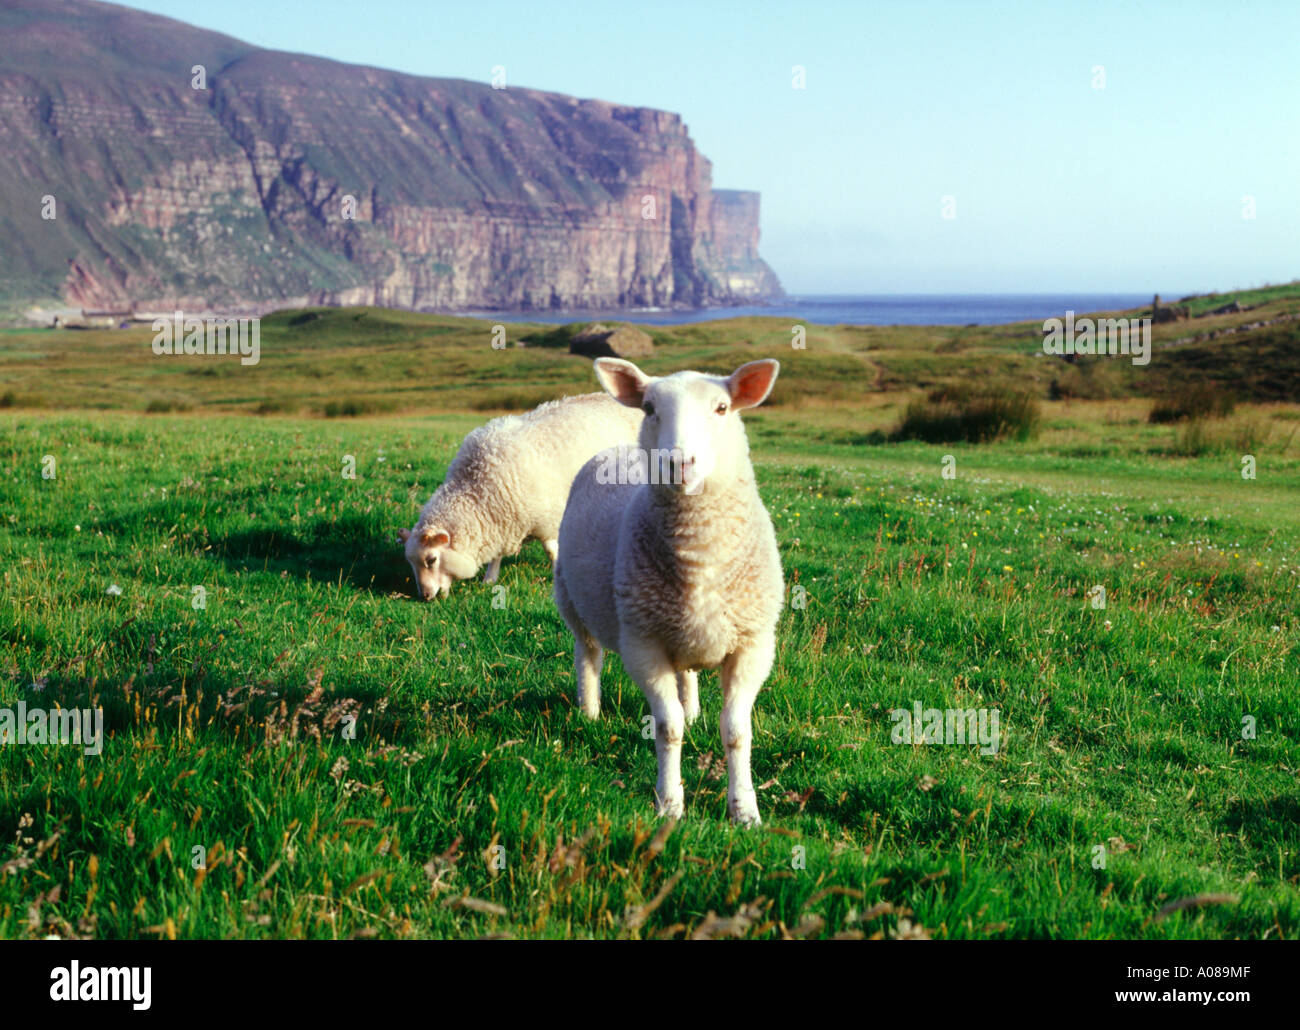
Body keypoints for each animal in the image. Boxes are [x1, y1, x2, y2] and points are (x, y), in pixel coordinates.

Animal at [400, 393, 643, 599]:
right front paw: (489, 579)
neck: (475, 490)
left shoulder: (545, 519)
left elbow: (551, 550)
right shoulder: (501, 524)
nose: (424, 596)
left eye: (431, 559)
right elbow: (496, 556)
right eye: (410, 563)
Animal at [553, 357, 784, 825]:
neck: (700, 556)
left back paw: (693, 709)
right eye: (649, 407)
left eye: (721, 408)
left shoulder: (753, 646)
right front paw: (669, 803)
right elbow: (667, 727)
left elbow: (737, 731)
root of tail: (614, 449)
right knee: (588, 656)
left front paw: (744, 810)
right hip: (572, 599)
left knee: (687, 674)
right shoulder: (644, 646)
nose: (677, 462)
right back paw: (589, 712)